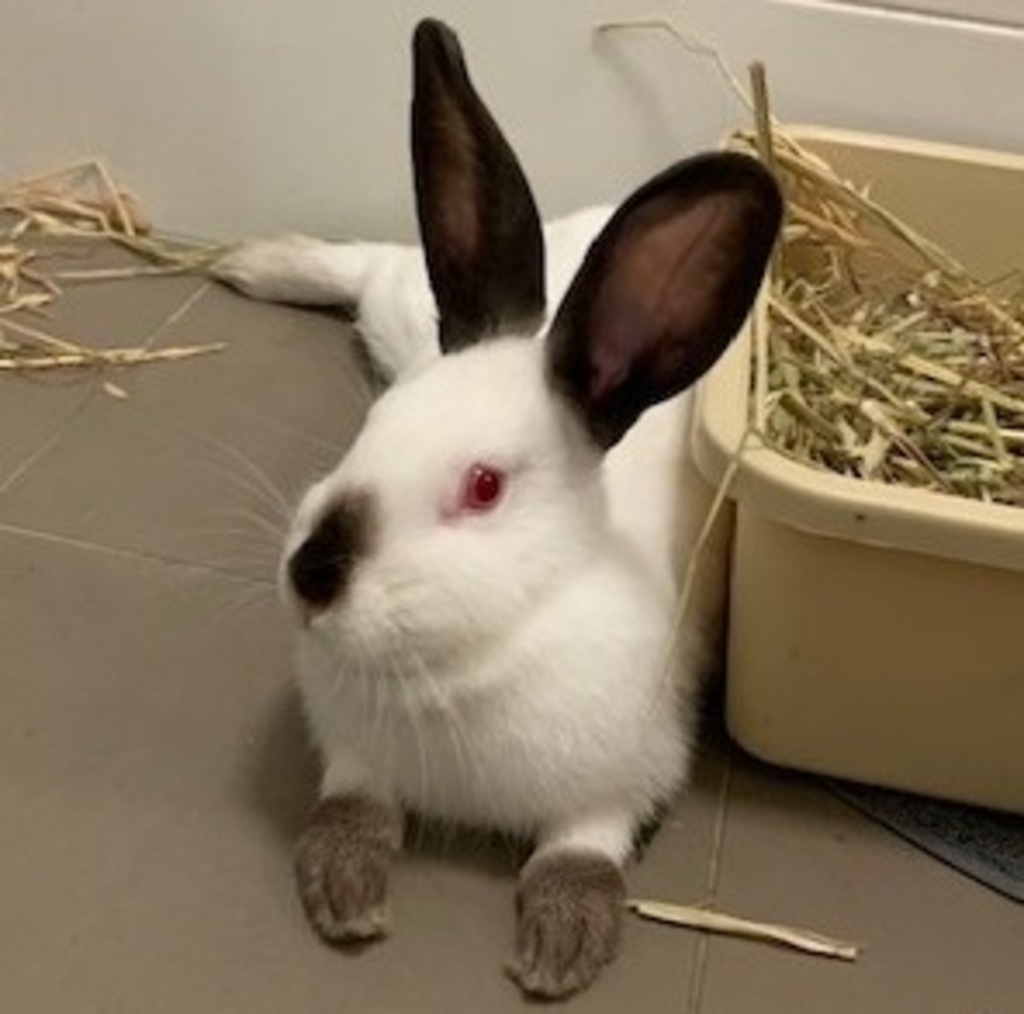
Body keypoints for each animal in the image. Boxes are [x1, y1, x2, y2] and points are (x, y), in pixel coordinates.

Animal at [213, 17, 782, 1000]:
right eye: (372, 425)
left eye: (484, 487)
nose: (312, 575)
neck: (461, 661)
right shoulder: (352, 752)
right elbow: (350, 806)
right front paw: (345, 892)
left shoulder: (620, 784)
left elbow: (577, 856)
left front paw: (560, 952)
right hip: (407, 306)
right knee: (372, 263)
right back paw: (252, 259)